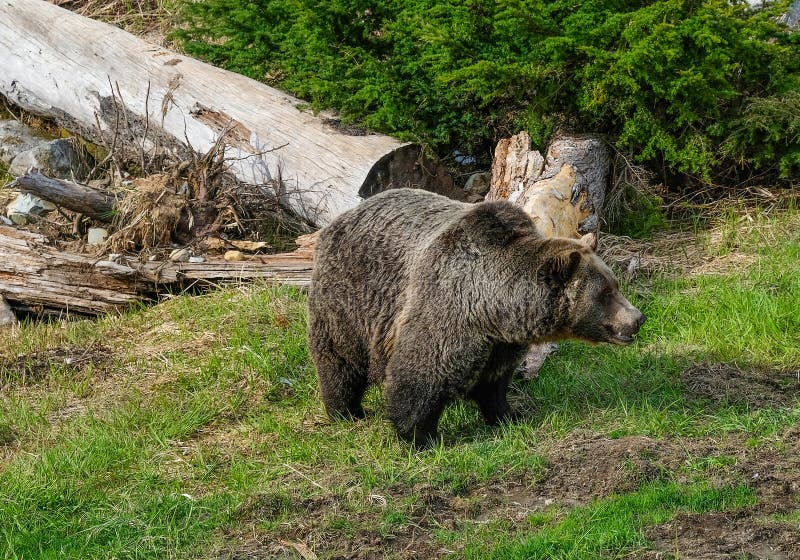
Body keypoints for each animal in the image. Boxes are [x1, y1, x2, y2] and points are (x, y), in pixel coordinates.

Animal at [307, 188, 645, 446]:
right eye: (605, 293)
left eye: (615, 284)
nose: (638, 318)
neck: (492, 310)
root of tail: (343, 216)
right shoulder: (444, 305)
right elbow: (420, 373)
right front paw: (419, 437)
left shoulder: (500, 344)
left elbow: (494, 382)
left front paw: (508, 414)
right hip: (349, 297)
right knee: (339, 359)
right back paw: (346, 411)